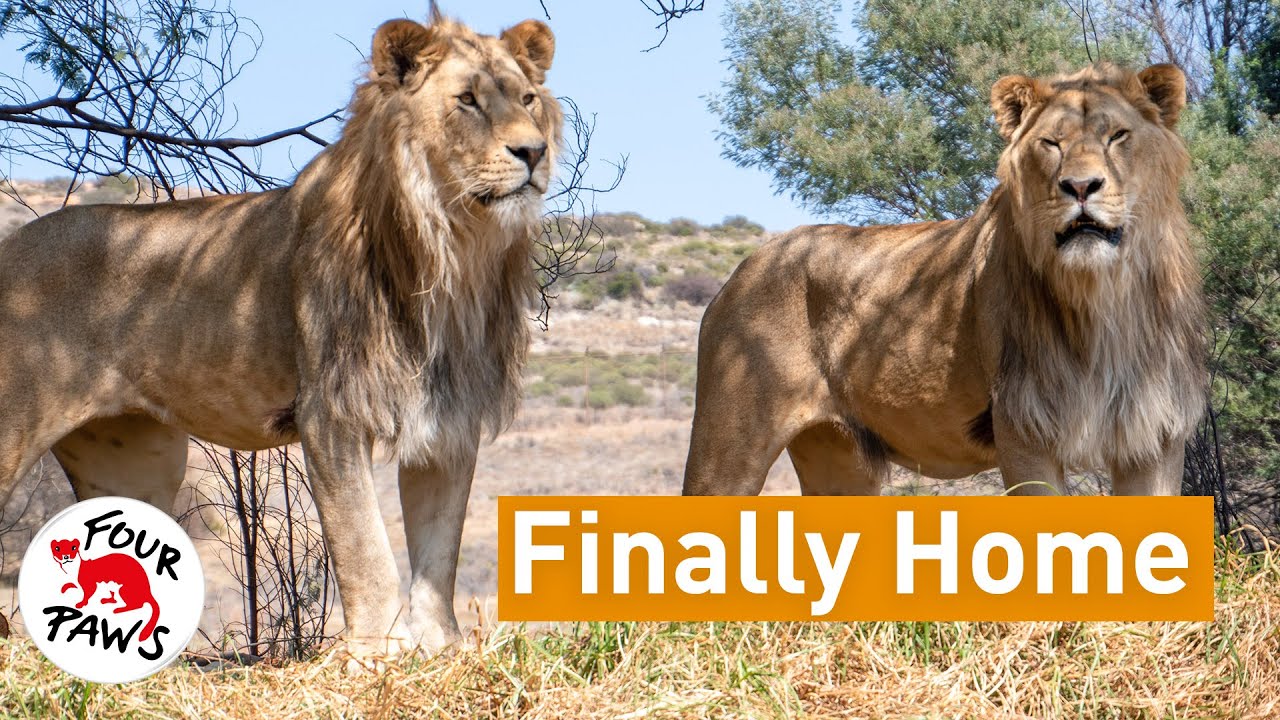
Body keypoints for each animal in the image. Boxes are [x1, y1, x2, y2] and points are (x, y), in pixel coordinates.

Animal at [0, 13, 562, 658]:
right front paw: (379, 654)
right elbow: (365, 545)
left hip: (139, 461)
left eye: (528, 99)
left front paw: (441, 649)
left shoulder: (447, 418)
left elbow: (438, 551)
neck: (450, 249)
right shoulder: (332, 411)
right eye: (467, 100)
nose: (533, 151)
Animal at [683, 64, 1206, 499]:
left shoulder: (1155, 434)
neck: (1105, 295)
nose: (1080, 187)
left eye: (1118, 136)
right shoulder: (1024, 430)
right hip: (728, 445)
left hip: (839, 459)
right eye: (1051, 144)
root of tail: (744, 267)